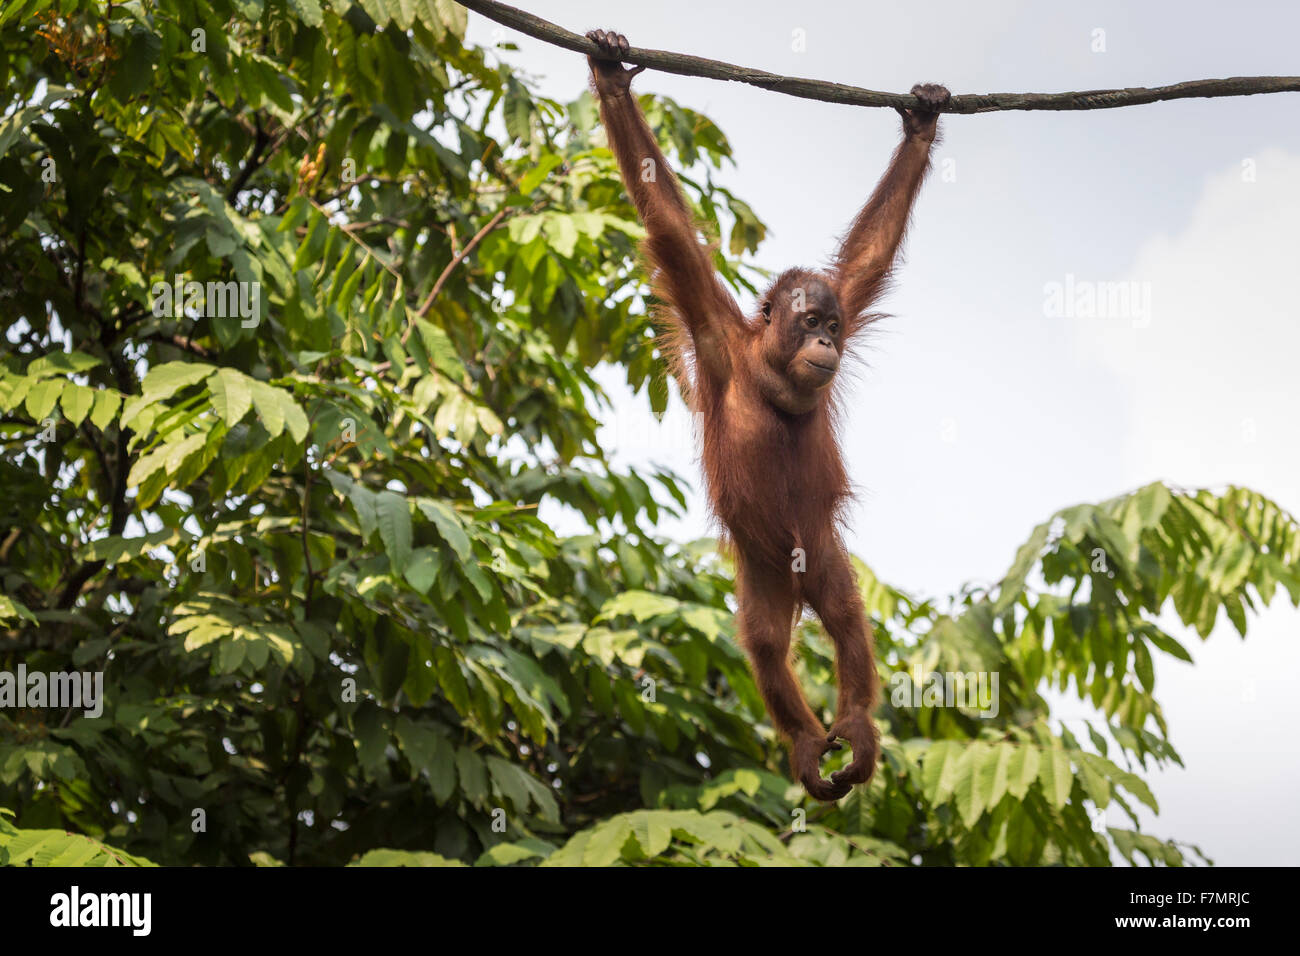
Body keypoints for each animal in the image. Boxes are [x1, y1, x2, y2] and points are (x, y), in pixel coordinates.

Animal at [586, 29, 948, 801]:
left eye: (835, 326)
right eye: (809, 321)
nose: (825, 343)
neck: (771, 369)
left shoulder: (852, 292)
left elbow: (868, 254)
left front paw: (923, 121)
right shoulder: (712, 328)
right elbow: (668, 226)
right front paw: (609, 74)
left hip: (819, 549)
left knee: (843, 615)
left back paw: (855, 727)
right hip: (762, 565)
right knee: (766, 642)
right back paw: (809, 743)